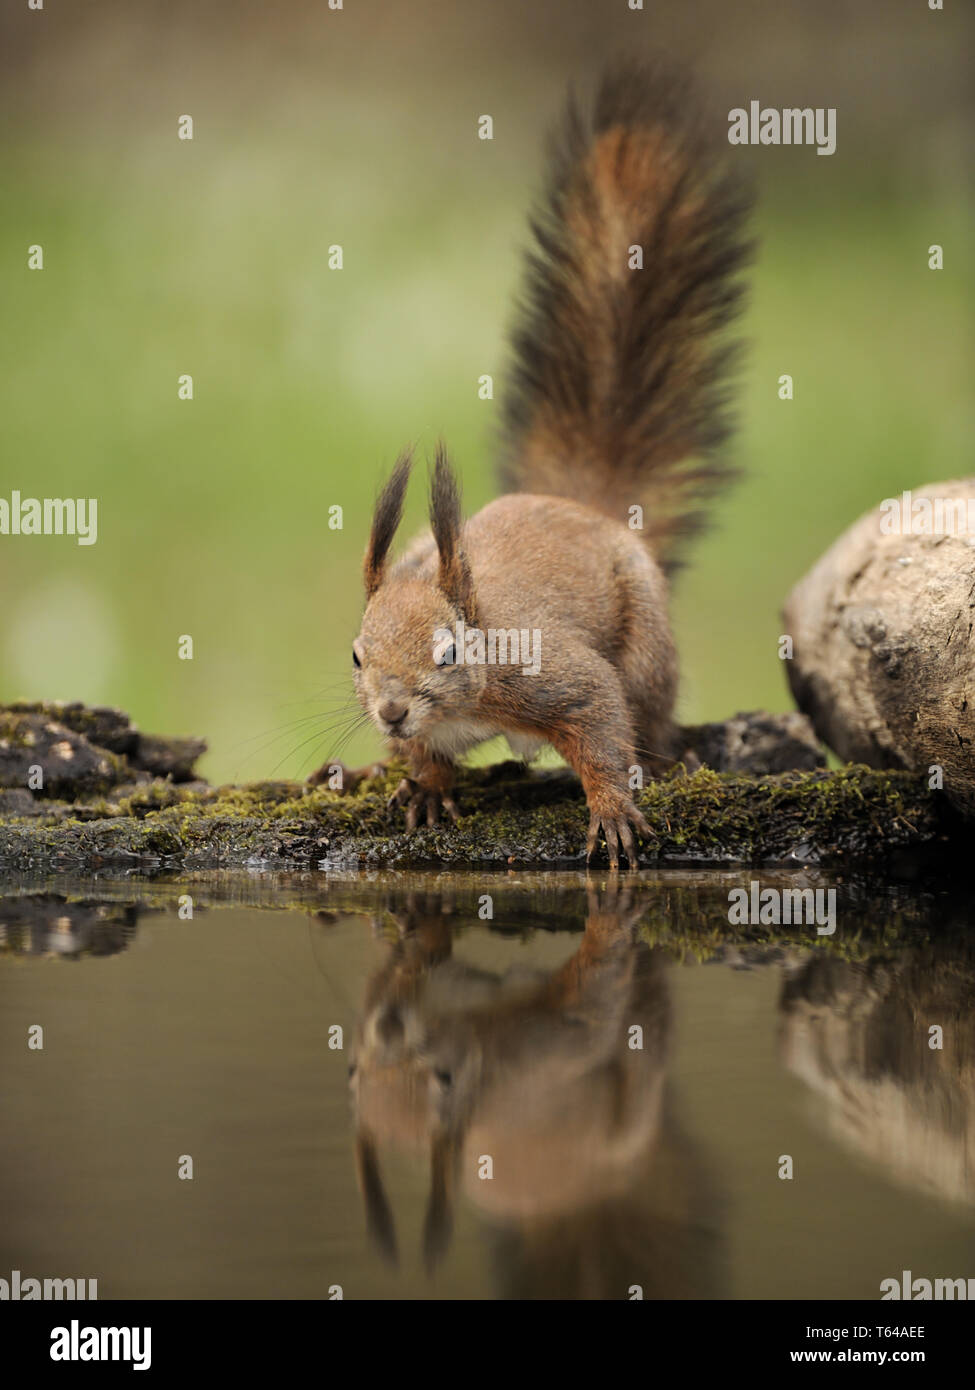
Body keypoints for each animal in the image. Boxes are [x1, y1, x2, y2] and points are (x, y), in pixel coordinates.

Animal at [317, 63, 752, 868]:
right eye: (356, 656)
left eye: (449, 651)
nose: (390, 712)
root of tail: (586, 510)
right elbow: (426, 759)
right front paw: (424, 786)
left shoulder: (556, 674)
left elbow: (603, 727)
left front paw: (612, 811)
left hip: (649, 647)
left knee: (647, 711)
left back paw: (670, 759)